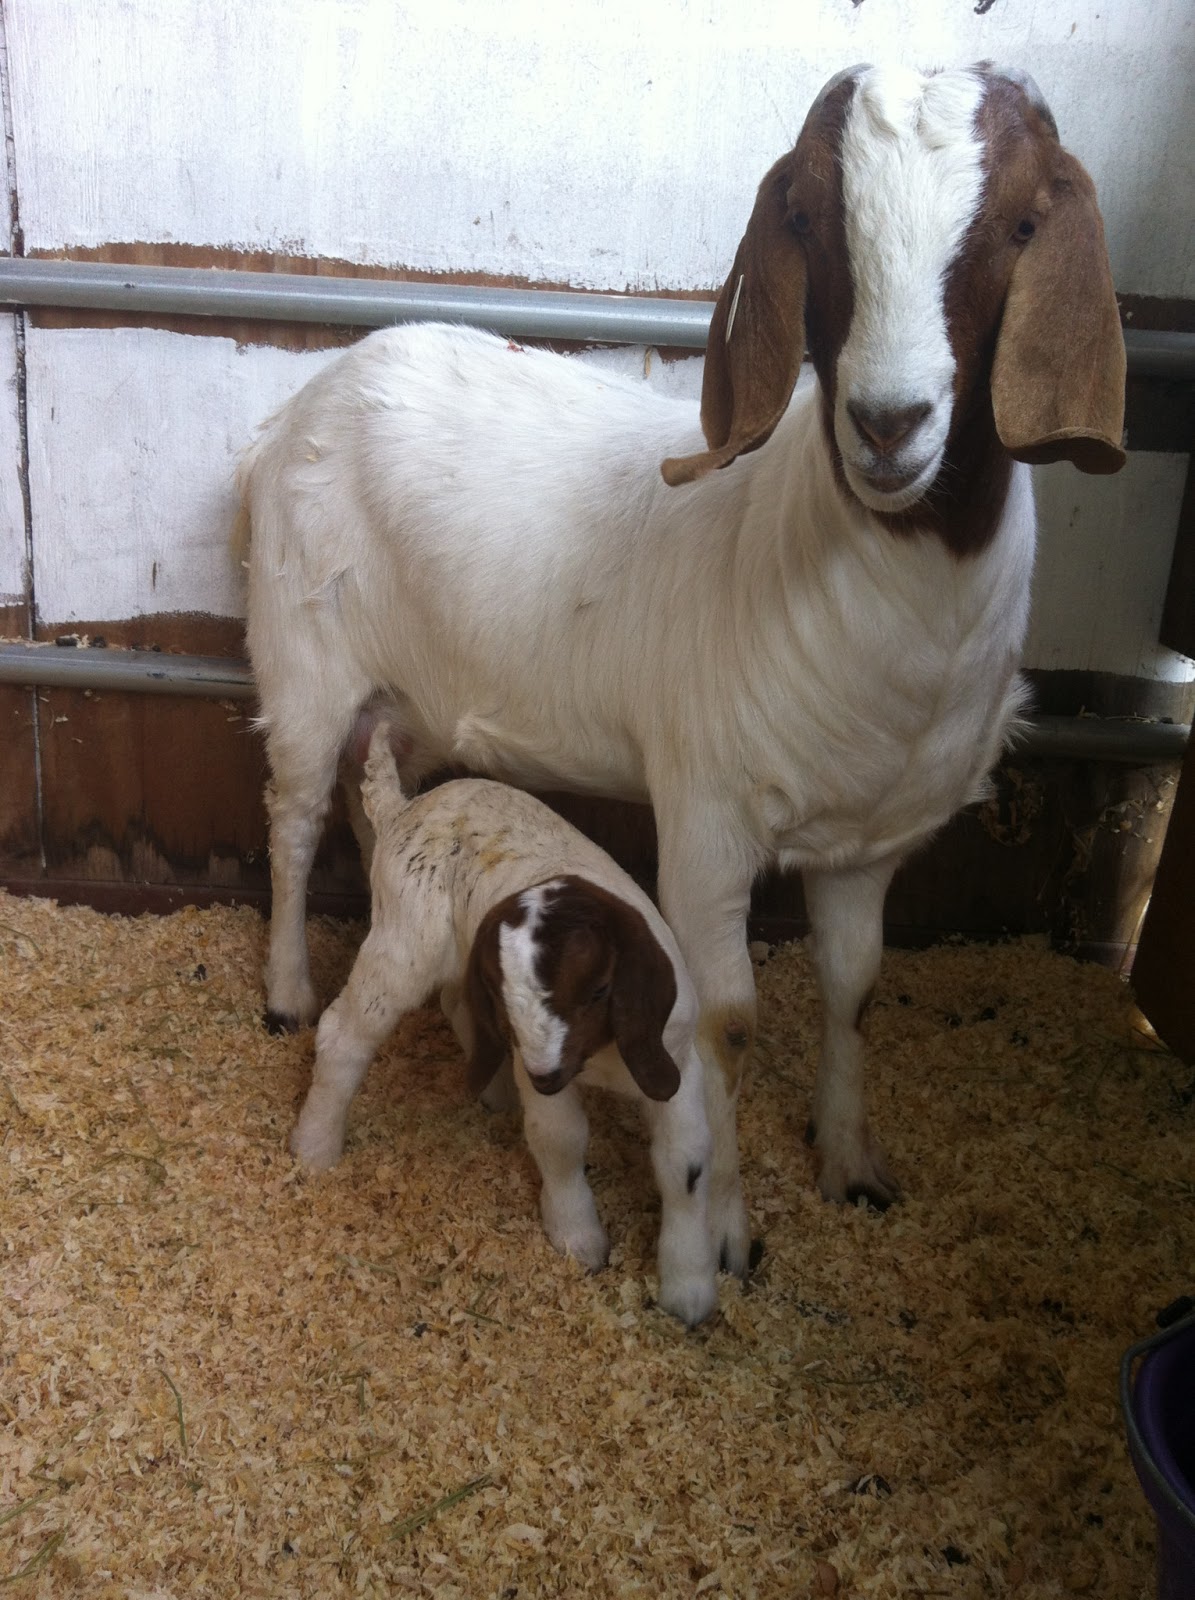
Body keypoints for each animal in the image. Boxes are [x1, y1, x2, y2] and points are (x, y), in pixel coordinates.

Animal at [289, 722, 718, 1327]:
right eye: (510, 996)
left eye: (599, 991)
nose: (543, 1075)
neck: (598, 1057)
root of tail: (403, 807)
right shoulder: (536, 1062)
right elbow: (561, 1140)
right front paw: (579, 1238)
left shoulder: (673, 1056)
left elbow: (686, 1165)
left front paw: (690, 1291)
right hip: (405, 937)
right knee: (344, 1033)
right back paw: (315, 1146)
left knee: (452, 1000)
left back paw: (492, 1089)